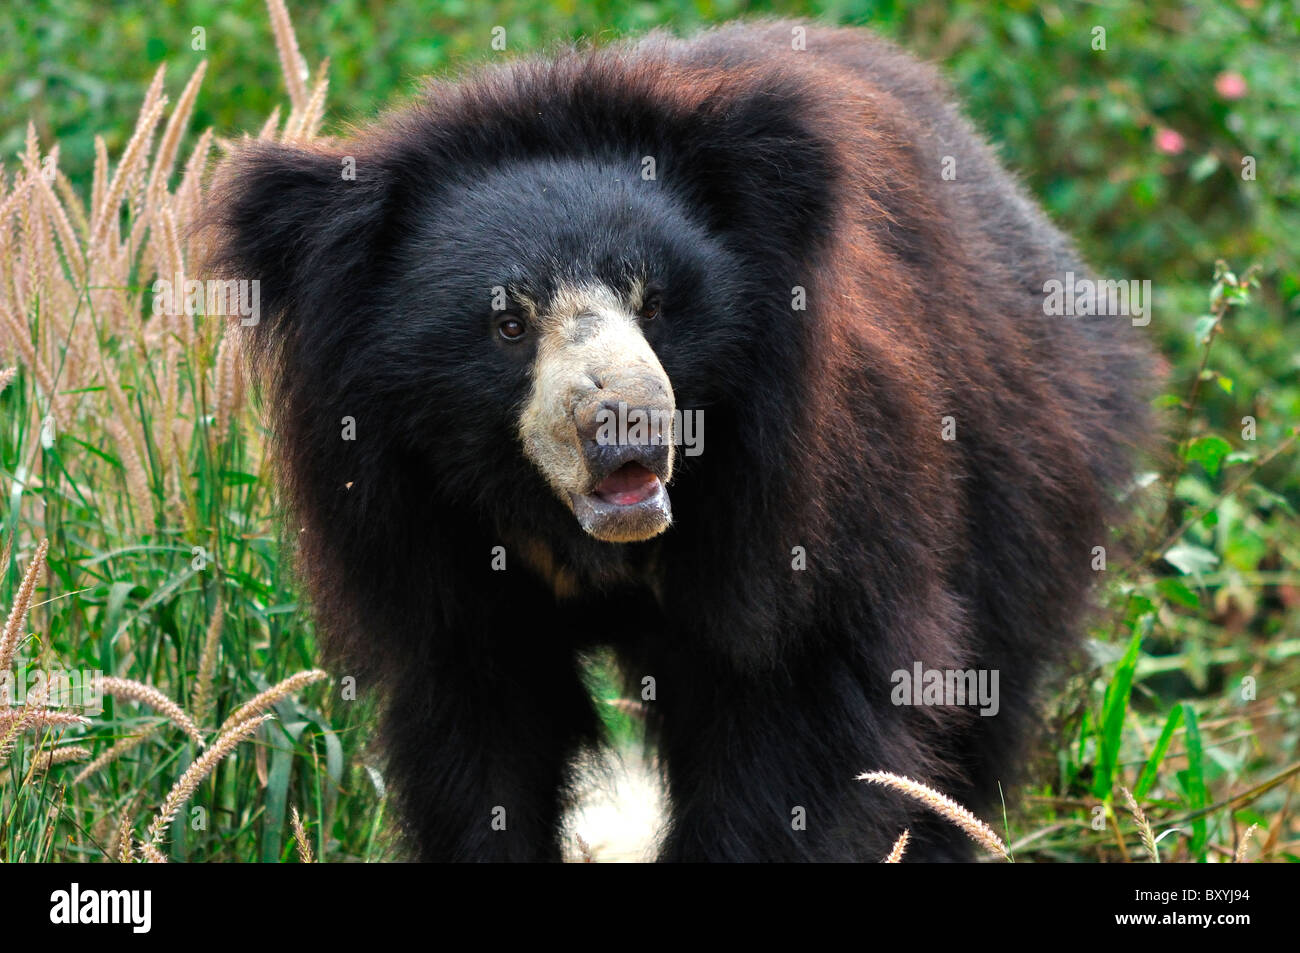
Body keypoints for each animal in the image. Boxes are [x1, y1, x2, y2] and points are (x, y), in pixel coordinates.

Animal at [208, 20, 1151, 861]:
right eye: (509, 322)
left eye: (656, 302)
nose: (628, 421)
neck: (576, 535)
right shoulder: (411, 519)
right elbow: (478, 730)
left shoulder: (811, 490)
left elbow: (801, 711)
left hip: (1022, 463)